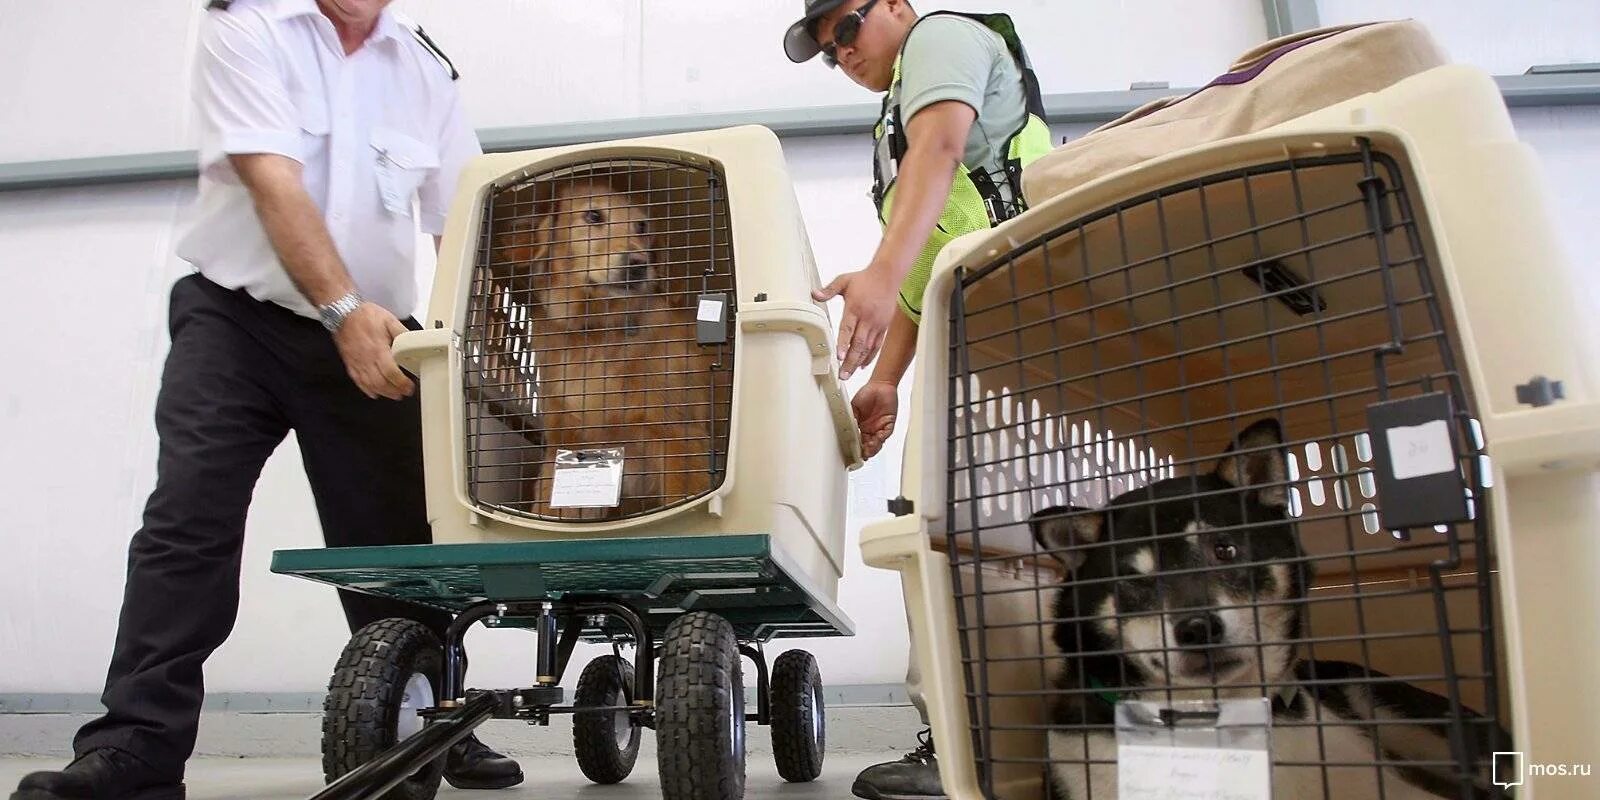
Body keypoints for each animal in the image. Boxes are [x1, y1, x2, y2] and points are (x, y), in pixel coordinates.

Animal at [483, 175, 716, 518]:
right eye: (593, 215)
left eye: (642, 226)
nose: (638, 265)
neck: (596, 330)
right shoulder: (566, 445)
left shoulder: (678, 439)